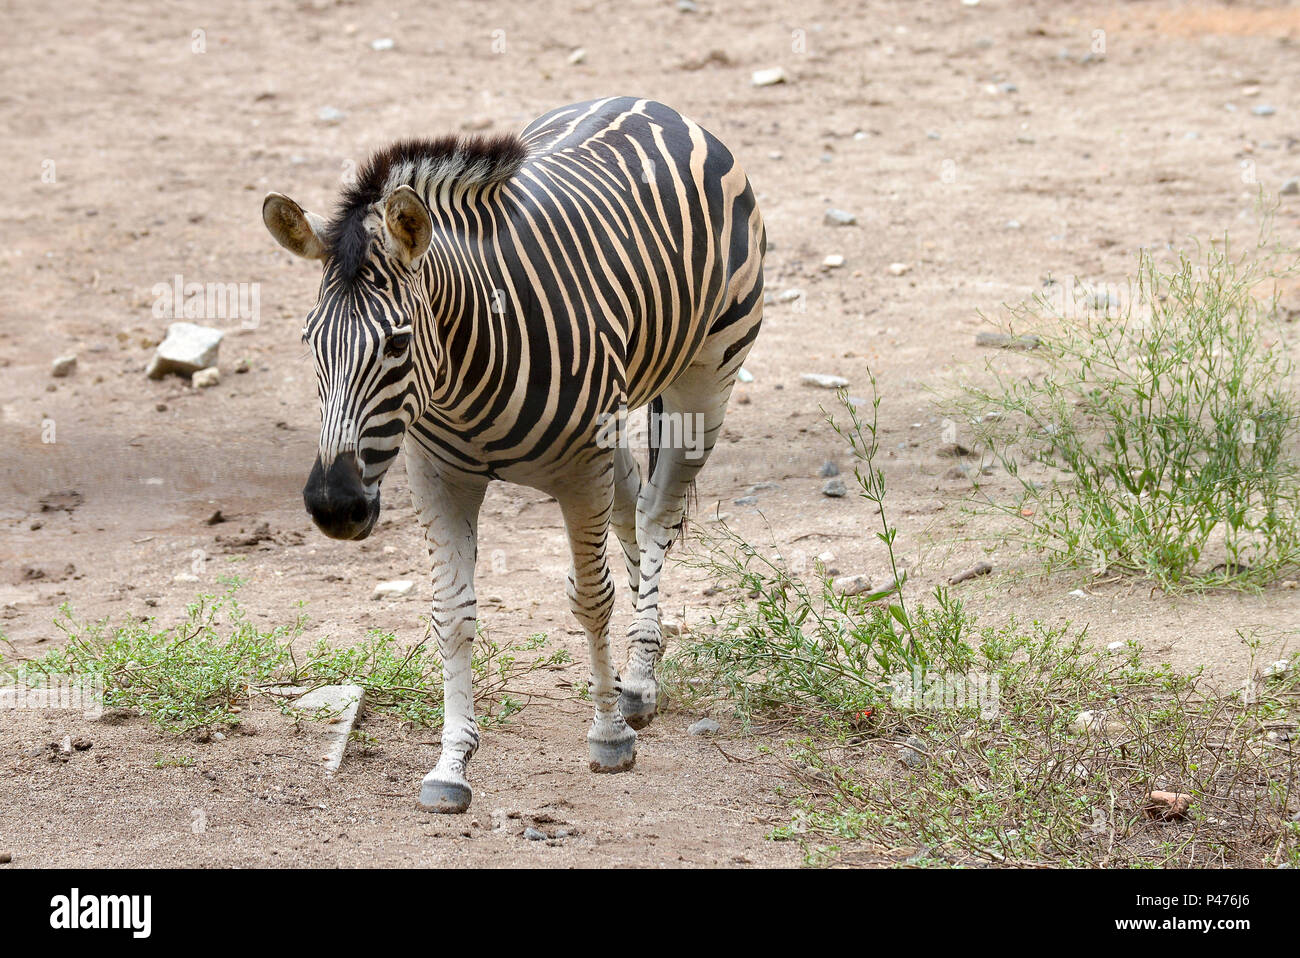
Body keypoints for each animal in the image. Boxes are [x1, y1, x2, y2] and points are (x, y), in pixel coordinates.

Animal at [262, 97, 765, 813]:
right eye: (310, 342)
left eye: (397, 344)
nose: (334, 507)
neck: (463, 375)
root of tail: (649, 103)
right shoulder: (438, 474)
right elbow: (451, 616)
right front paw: (450, 765)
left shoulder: (580, 468)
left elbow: (591, 598)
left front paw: (607, 736)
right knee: (633, 505)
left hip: (707, 380)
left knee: (658, 514)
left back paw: (639, 679)